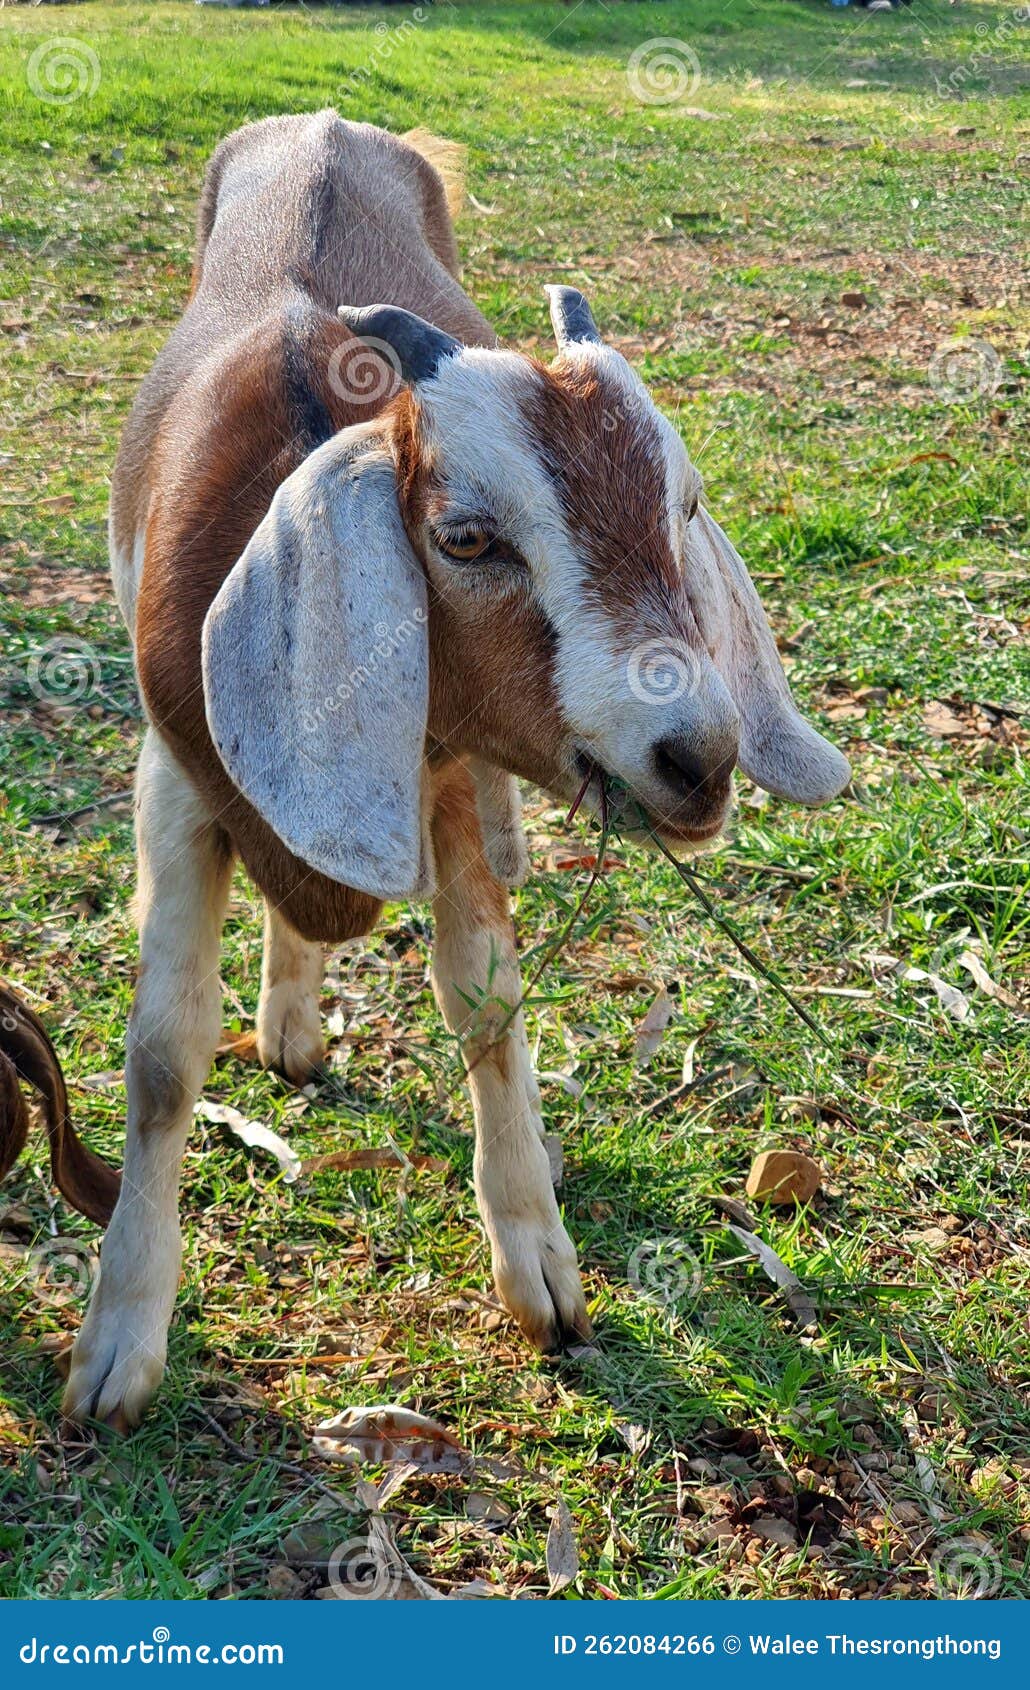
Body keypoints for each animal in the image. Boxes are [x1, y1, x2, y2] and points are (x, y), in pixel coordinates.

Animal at [54, 112, 848, 1429]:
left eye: (681, 508)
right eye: (465, 539)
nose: (697, 756)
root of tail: (322, 122)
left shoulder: (443, 770)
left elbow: (484, 996)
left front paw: (539, 1264)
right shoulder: (176, 778)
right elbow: (165, 1054)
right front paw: (119, 1341)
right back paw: (290, 1023)